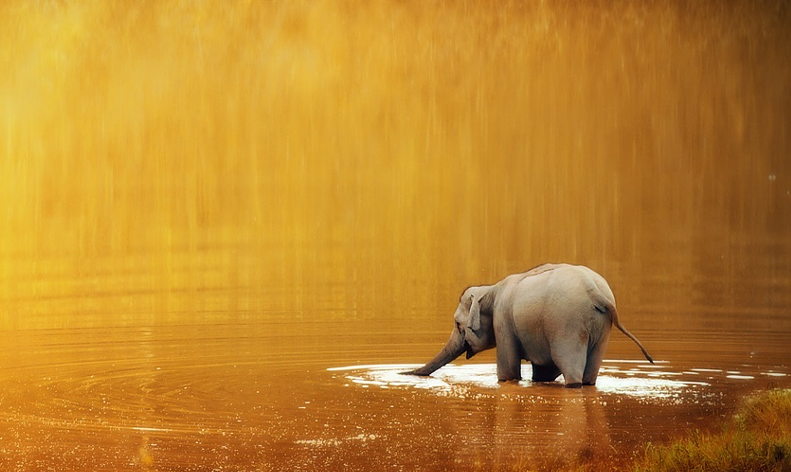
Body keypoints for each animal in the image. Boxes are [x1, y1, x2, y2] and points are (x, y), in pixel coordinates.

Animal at [403, 263, 653, 388]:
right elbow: (543, 372)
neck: (491, 288)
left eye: (457, 324)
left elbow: (507, 373)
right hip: (602, 330)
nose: (403, 373)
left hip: (566, 325)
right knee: (590, 375)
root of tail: (595, 291)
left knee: (570, 369)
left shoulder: (503, 320)